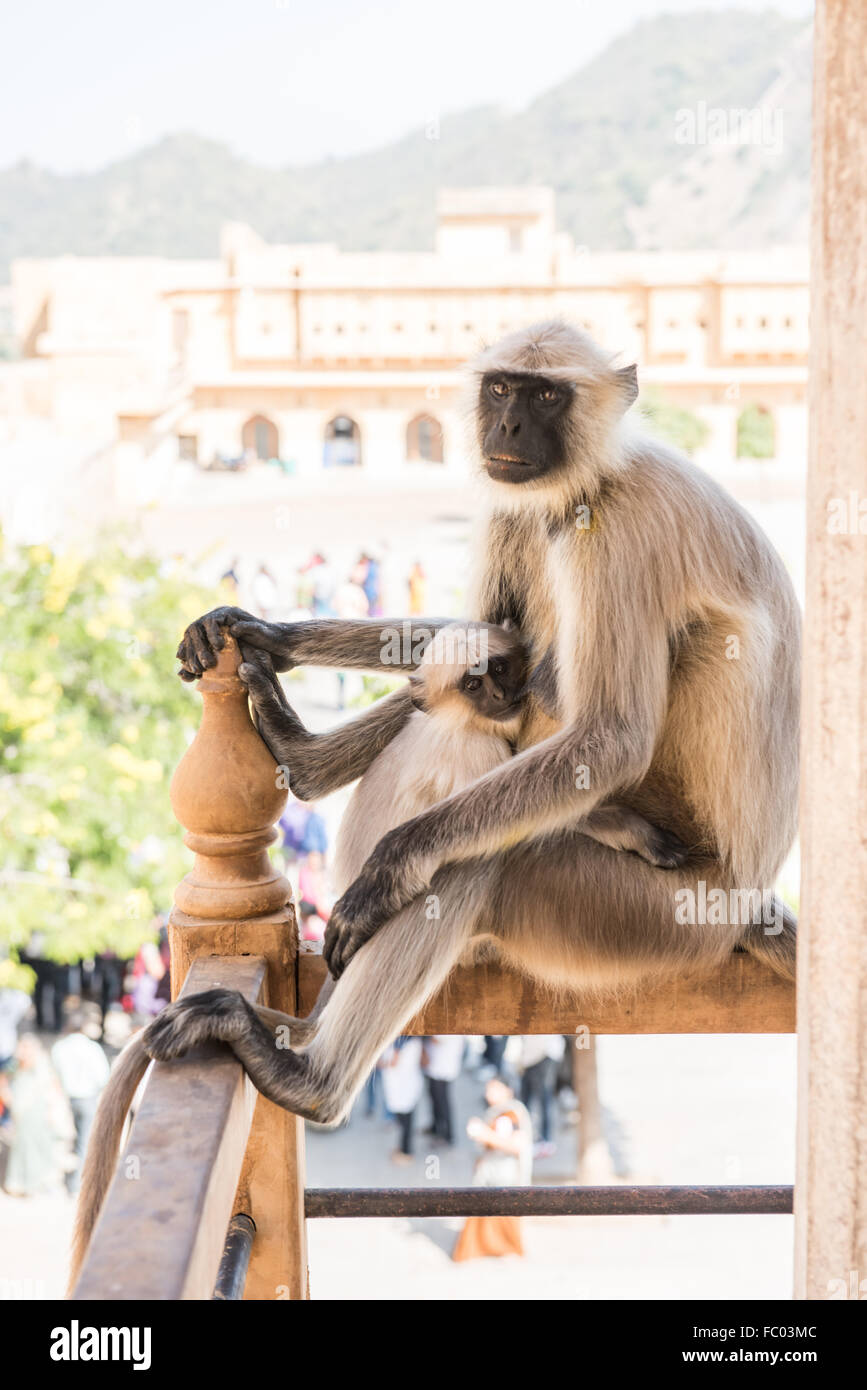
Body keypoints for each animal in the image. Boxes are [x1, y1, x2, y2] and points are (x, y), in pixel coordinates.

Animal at [70, 319, 799, 1285]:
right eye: (501, 390)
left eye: (546, 395)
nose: (512, 429)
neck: (594, 476)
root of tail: (747, 897)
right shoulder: (519, 512)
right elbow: (480, 635)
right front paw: (265, 631)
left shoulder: (615, 530)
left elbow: (604, 739)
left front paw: (387, 867)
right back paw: (303, 765)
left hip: (657, 920)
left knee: (483, 864)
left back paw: (309, 1076)